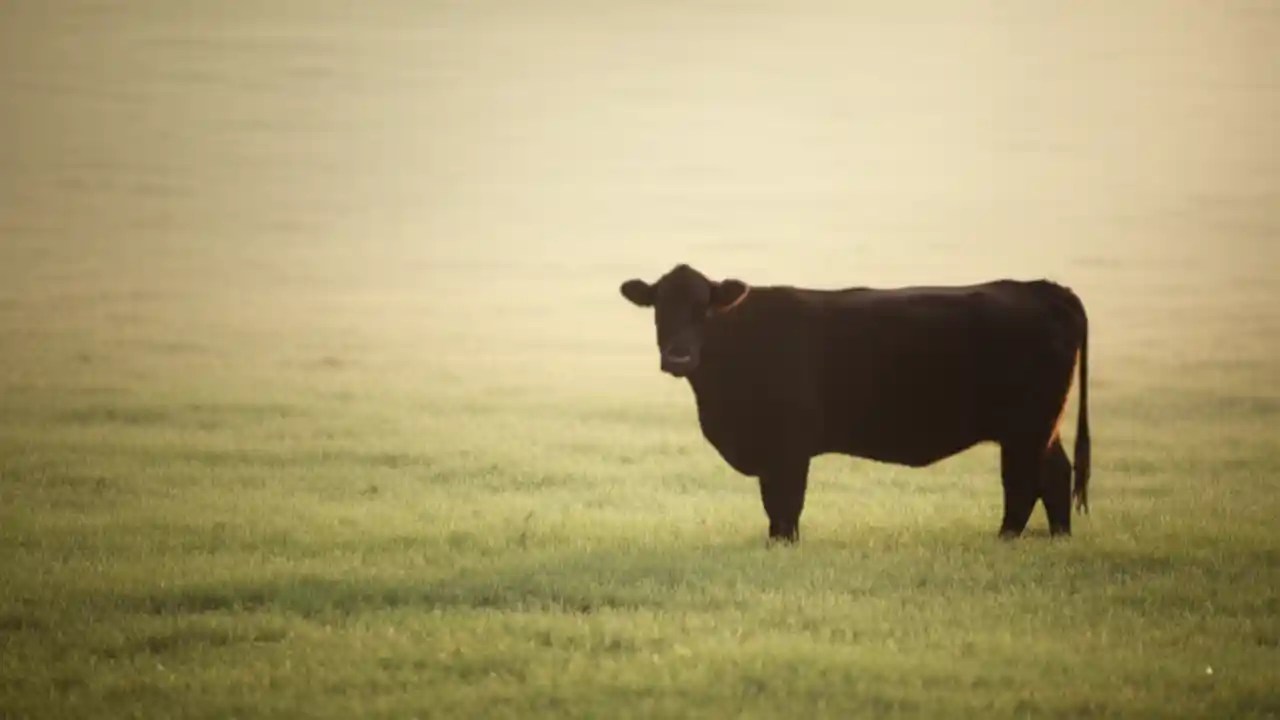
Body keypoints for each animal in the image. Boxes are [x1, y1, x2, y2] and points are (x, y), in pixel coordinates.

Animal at [619, 264, 1091, 543]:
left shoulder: (788, 448)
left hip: (1026, 428)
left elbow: (785, 503)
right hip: (1041, 426)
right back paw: (1058, 537)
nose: (678, 356)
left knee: (1025, 482)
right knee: (1054, 474)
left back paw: (1007, 538)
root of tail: (1044, 288)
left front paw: (783, 544)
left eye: (704, 310)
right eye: (659, 308)